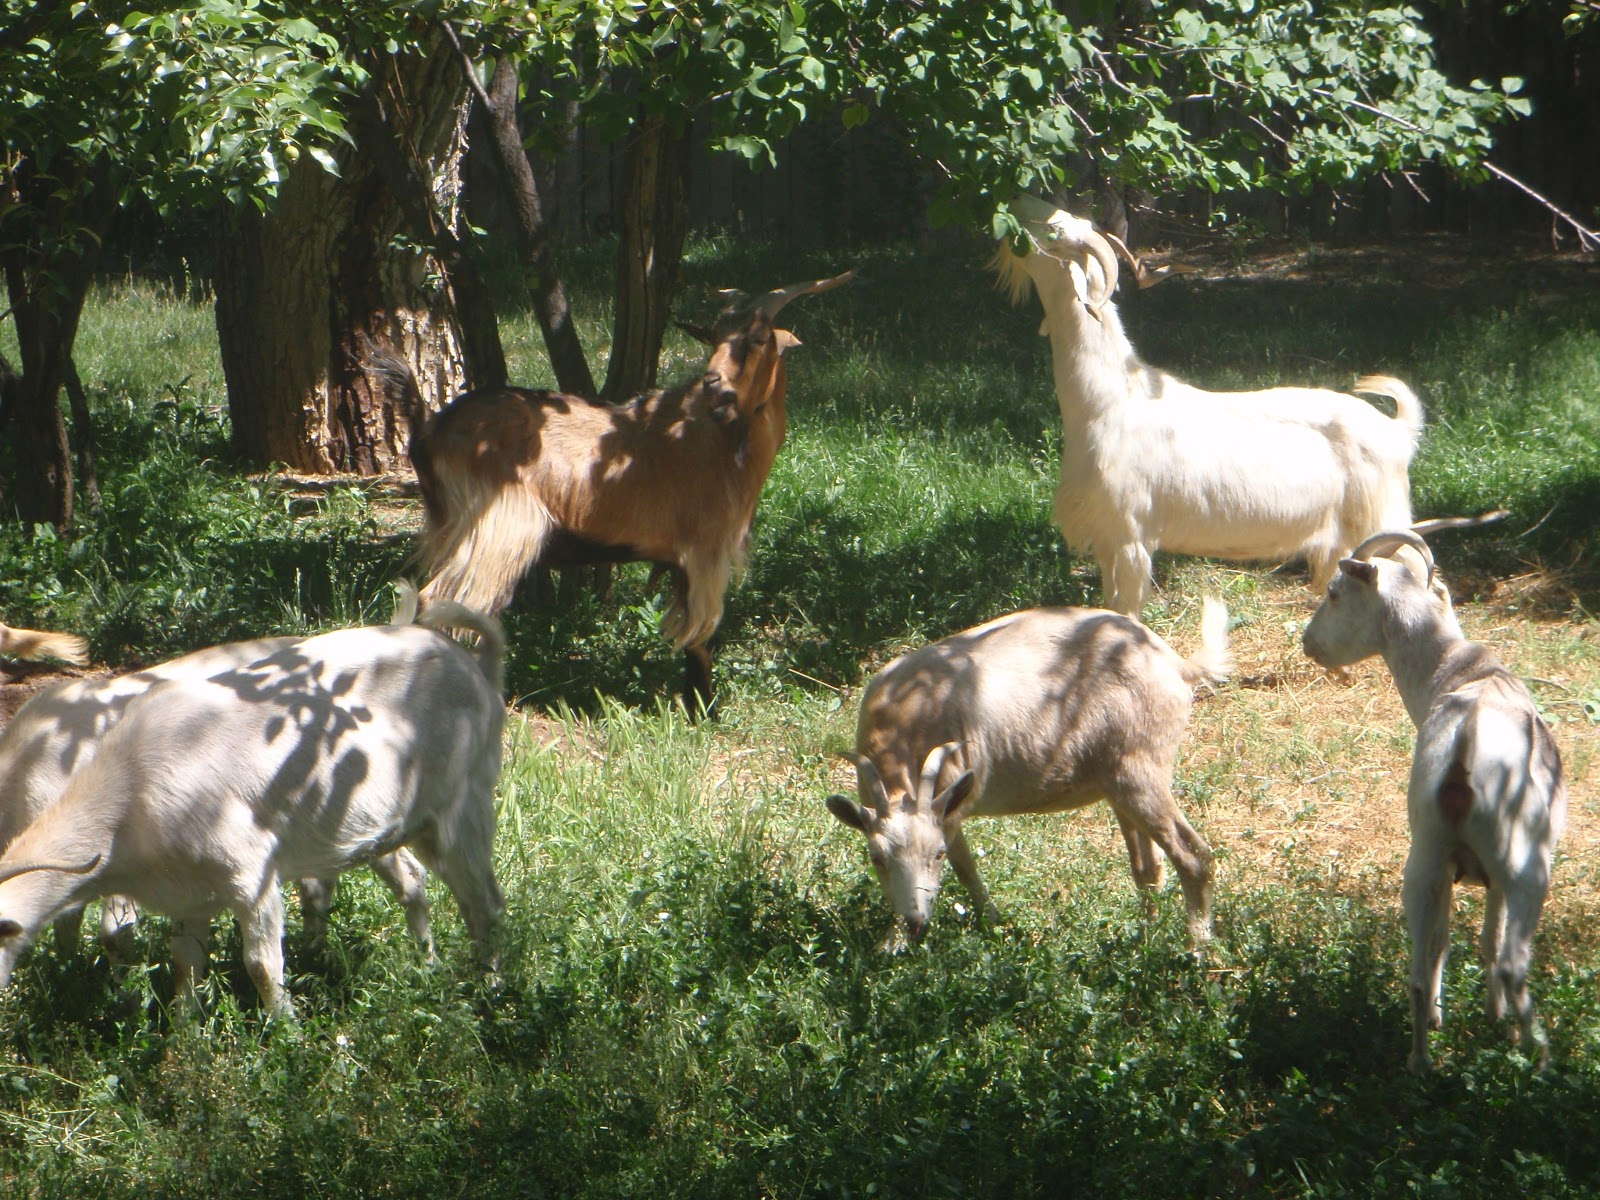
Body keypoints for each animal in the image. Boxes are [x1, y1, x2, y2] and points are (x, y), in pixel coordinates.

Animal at [0, 600, 506, 1017]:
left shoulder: (250, 873)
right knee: (410, 881)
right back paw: (424, 965)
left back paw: (490, 993)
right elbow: (184, 964)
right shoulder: (189, 891)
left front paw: (290, 1037)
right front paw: (184, 1042)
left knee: (485, 903)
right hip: (384, 825)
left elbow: (260, 965)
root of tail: (477, 663)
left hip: (466, 804)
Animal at [373, 270, 853, 715]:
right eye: (716, 337)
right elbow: (701, 637)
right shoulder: (705, 553)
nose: (713, 383)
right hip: (499, 527)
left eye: (756, 337)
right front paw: (703, 713)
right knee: (444, 601)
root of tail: (429, 428)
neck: (715, 439)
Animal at [826, 599, 1229, 951]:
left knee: (1194, 858)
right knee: (1148, 868)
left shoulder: (951, 808)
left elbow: (965, 869)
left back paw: (1195, 951)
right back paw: (1145, 940)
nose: (914, 921)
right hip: (1118, 784)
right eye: (875, 858)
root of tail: (1174, 663)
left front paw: (892, 944)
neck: (903, 718)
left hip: (1141, 771)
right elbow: (967, 870)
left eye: (936, 854)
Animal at [993, 193, 1424, 617]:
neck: (1112, 401)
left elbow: (1125, 613)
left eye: (1054, 231)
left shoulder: (1130, 536)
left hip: (1383, 521)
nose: (1014, 201)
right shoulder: (1106, 539)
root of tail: (1397, 430)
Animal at [1302, 529, 1566, 1072]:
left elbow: (1455, 943)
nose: (1307, 642)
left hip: (1423, 861)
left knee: (1420, 970)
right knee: (1512, 962)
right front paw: (1497, 1020)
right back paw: (1537, 1056)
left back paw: (1421, 1061)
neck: (1459, 672)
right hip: (1525, 868)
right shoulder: (1497, 877)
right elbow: (1489, 943)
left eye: (1335, 594)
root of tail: (1465, 748)